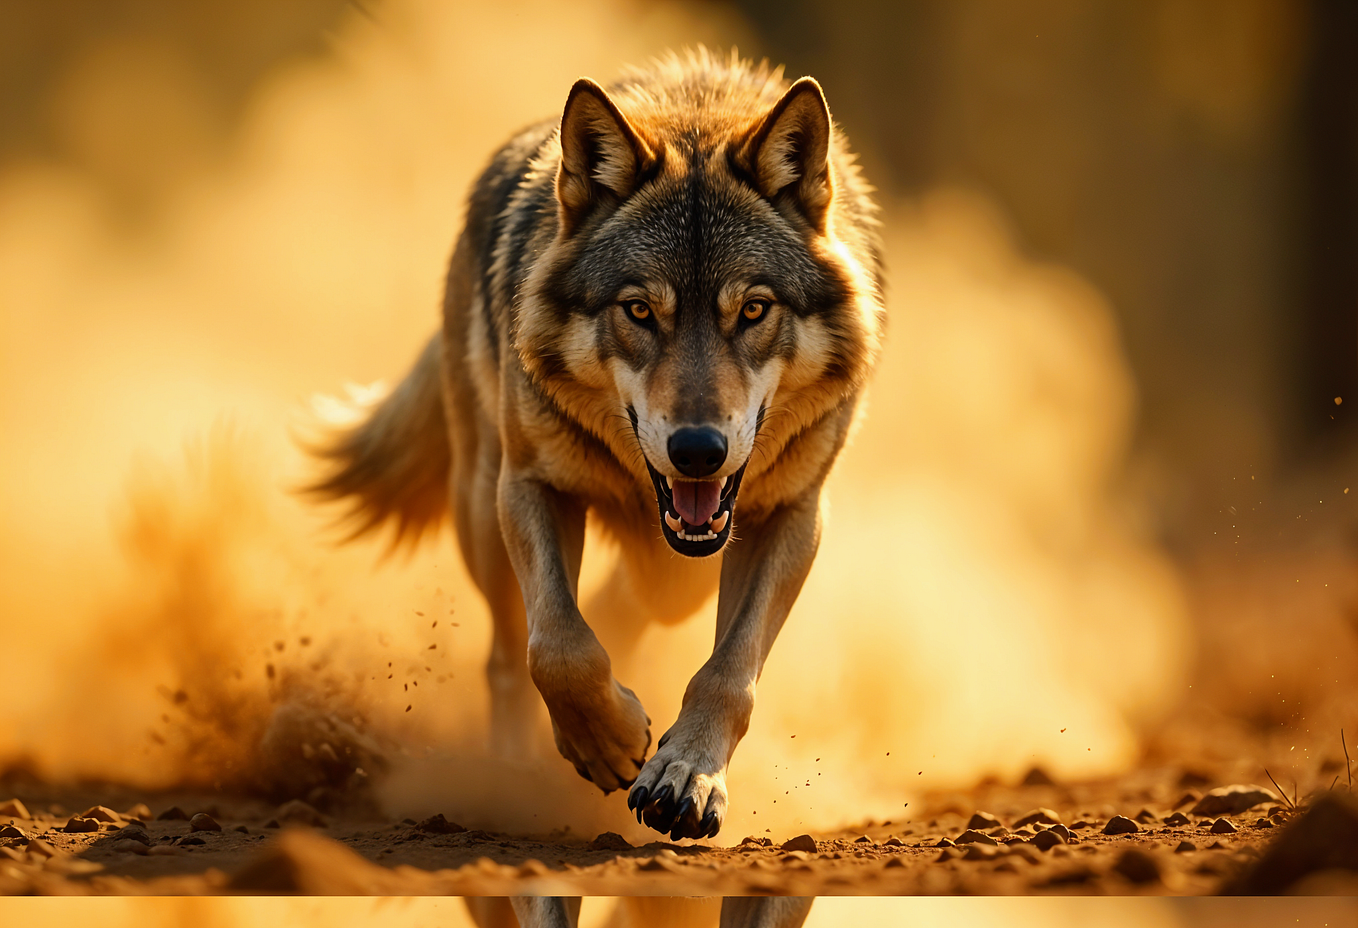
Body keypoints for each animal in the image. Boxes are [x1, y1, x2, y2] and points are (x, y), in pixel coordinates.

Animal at [309, 49, 882, 870]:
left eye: (753, 310)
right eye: (639, 310)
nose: (698, 451)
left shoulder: (793, 516)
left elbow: (727, 673)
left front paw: (684, 773)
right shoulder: (529, 486)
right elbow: (558, 648)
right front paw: (608, 741)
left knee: (643, 597)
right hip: (478, 508)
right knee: (506, 655)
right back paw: (516, 776)